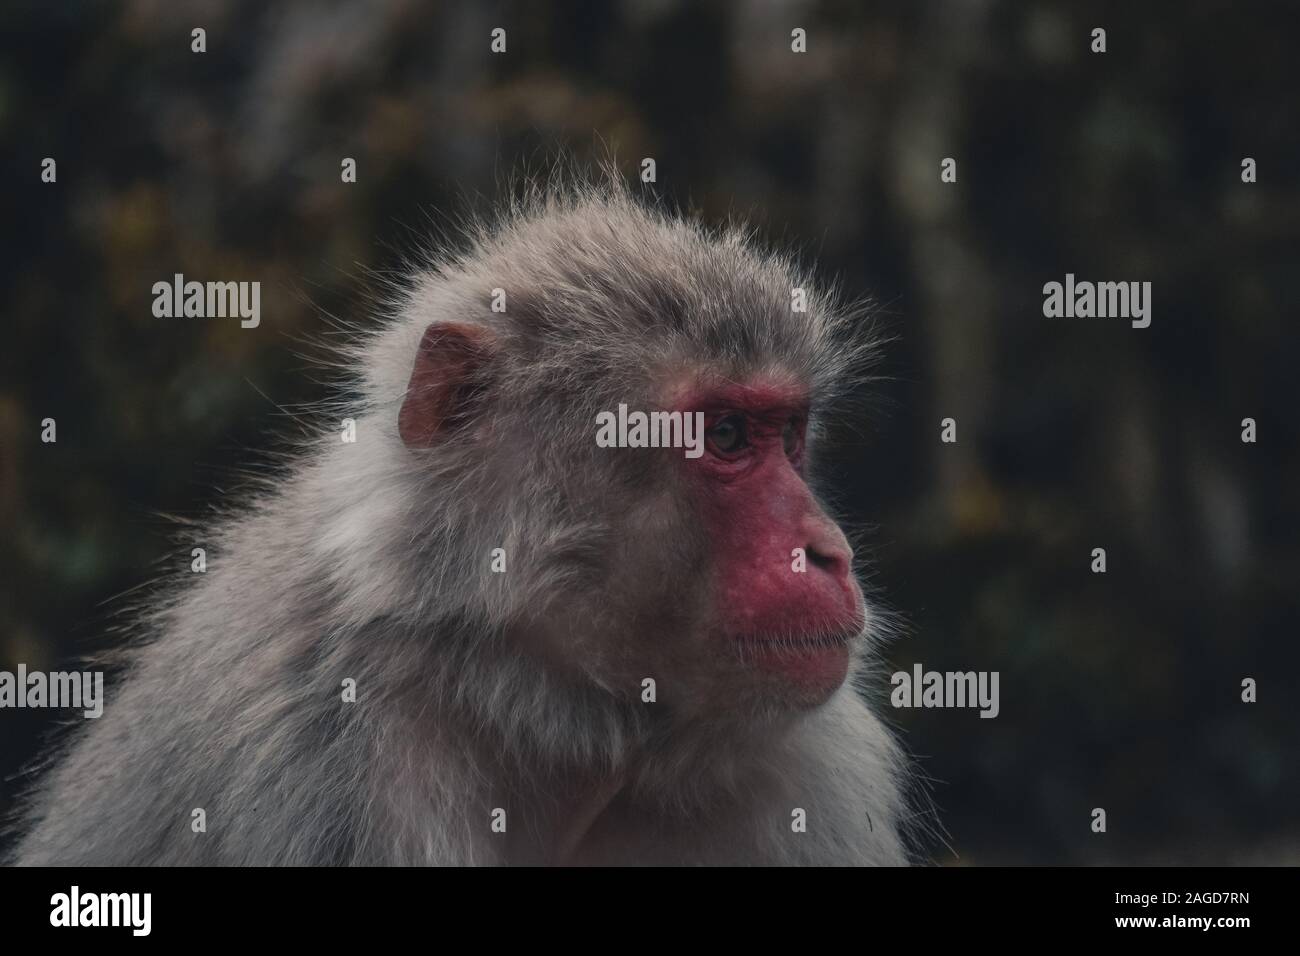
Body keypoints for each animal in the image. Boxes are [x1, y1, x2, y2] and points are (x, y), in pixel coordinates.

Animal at [9, 173, 917, 866]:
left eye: (789, 434)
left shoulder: (806, 777)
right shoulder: (319, 769)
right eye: (726, 436)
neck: (559, 723)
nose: (827, 552)